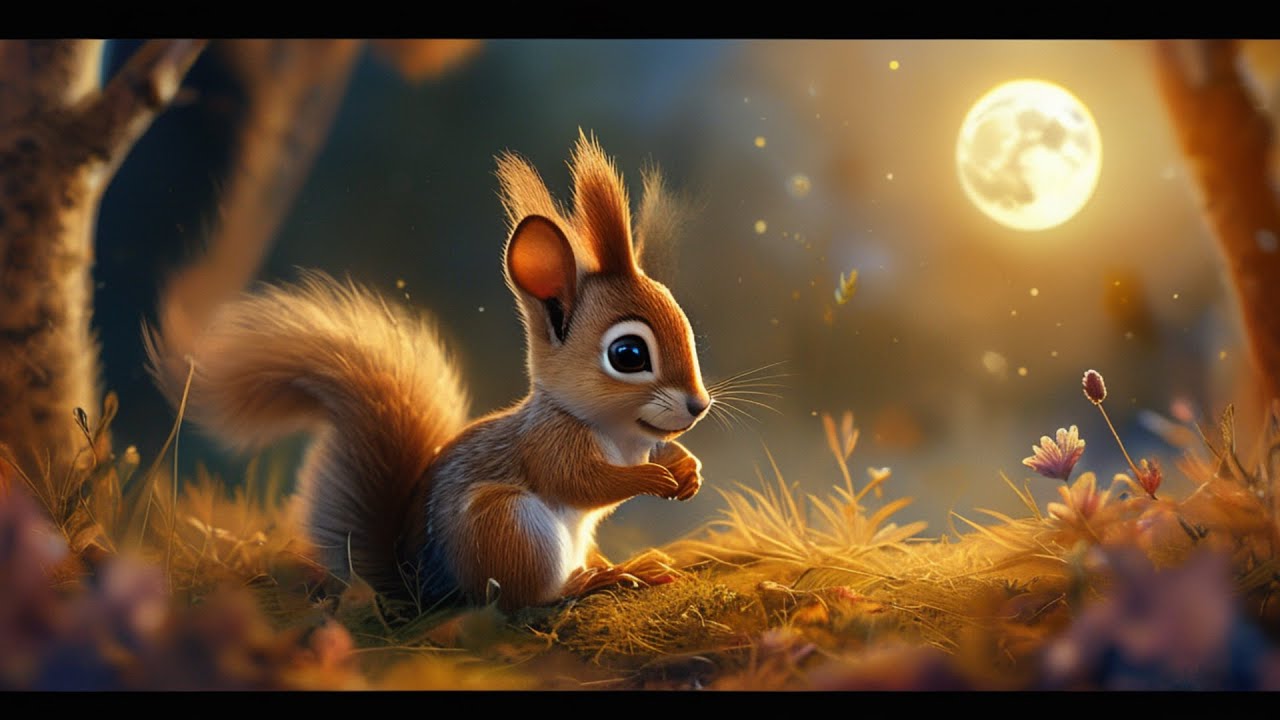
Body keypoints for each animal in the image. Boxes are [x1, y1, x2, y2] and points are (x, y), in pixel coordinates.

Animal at [144, 132, 711, 612]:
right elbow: (581, 481)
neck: (617, 433)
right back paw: (594, 580)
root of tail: (428, 586)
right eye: (629, 355)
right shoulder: (547, 445)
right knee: (519, 599)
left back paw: (629, 566)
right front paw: (652, 477)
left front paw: (687, 470)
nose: (698, 406)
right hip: (509, 527)